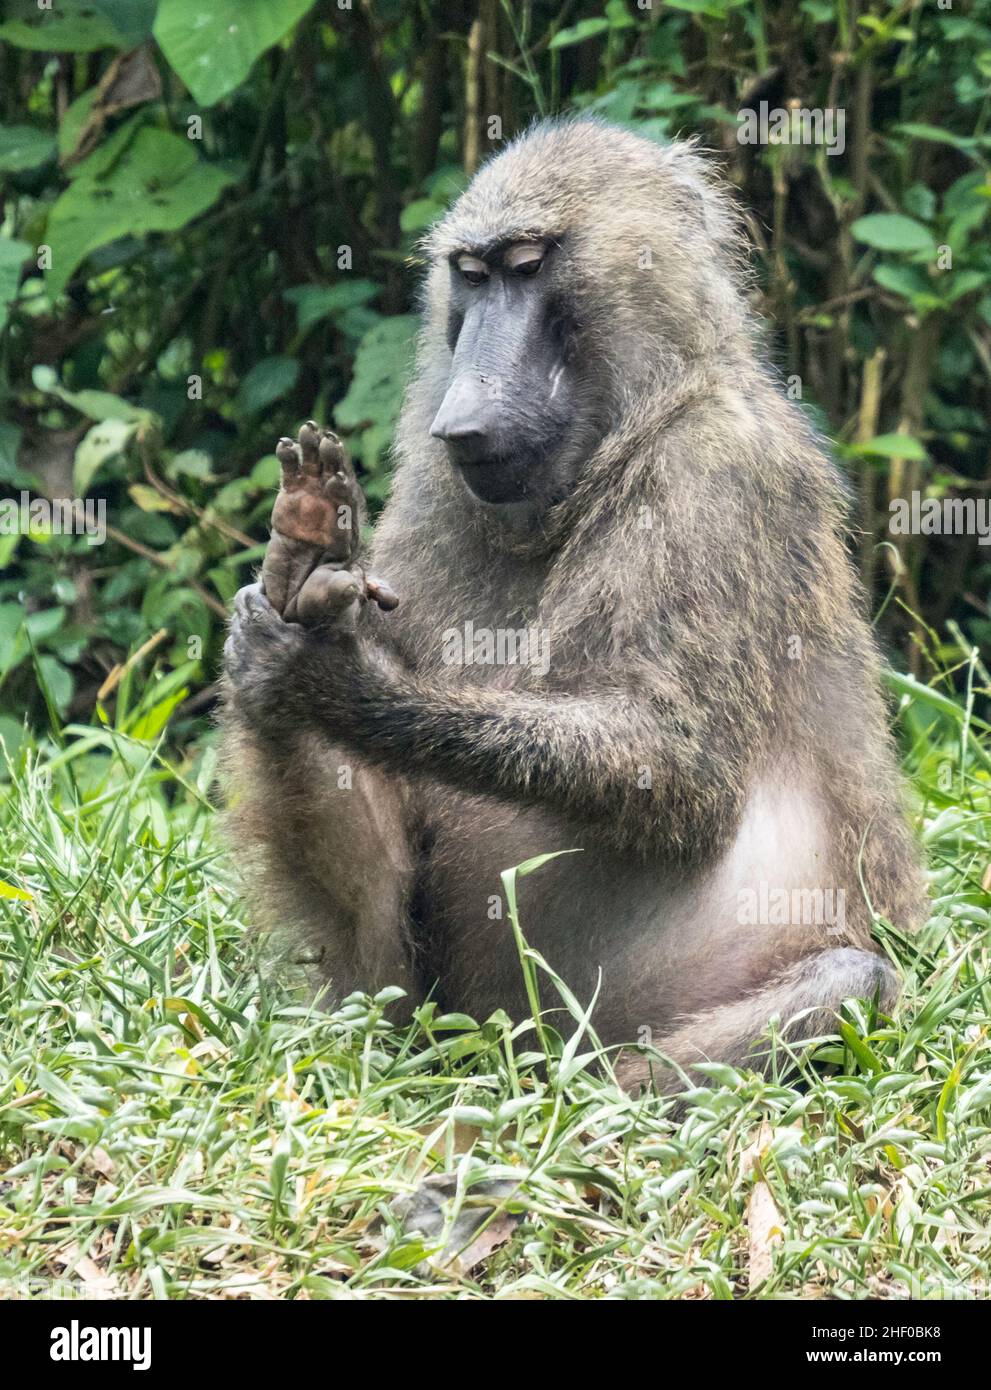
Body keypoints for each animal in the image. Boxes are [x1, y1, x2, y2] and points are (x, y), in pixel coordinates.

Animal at [221, 117, 927, 1095]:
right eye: (470, 276)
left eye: (526, 265)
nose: (464, 411)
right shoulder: (436, 488)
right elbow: (382, 944)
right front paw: (295, 587)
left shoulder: (720, 466)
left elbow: (676, 765)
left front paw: (335, 674)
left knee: (850, 984)